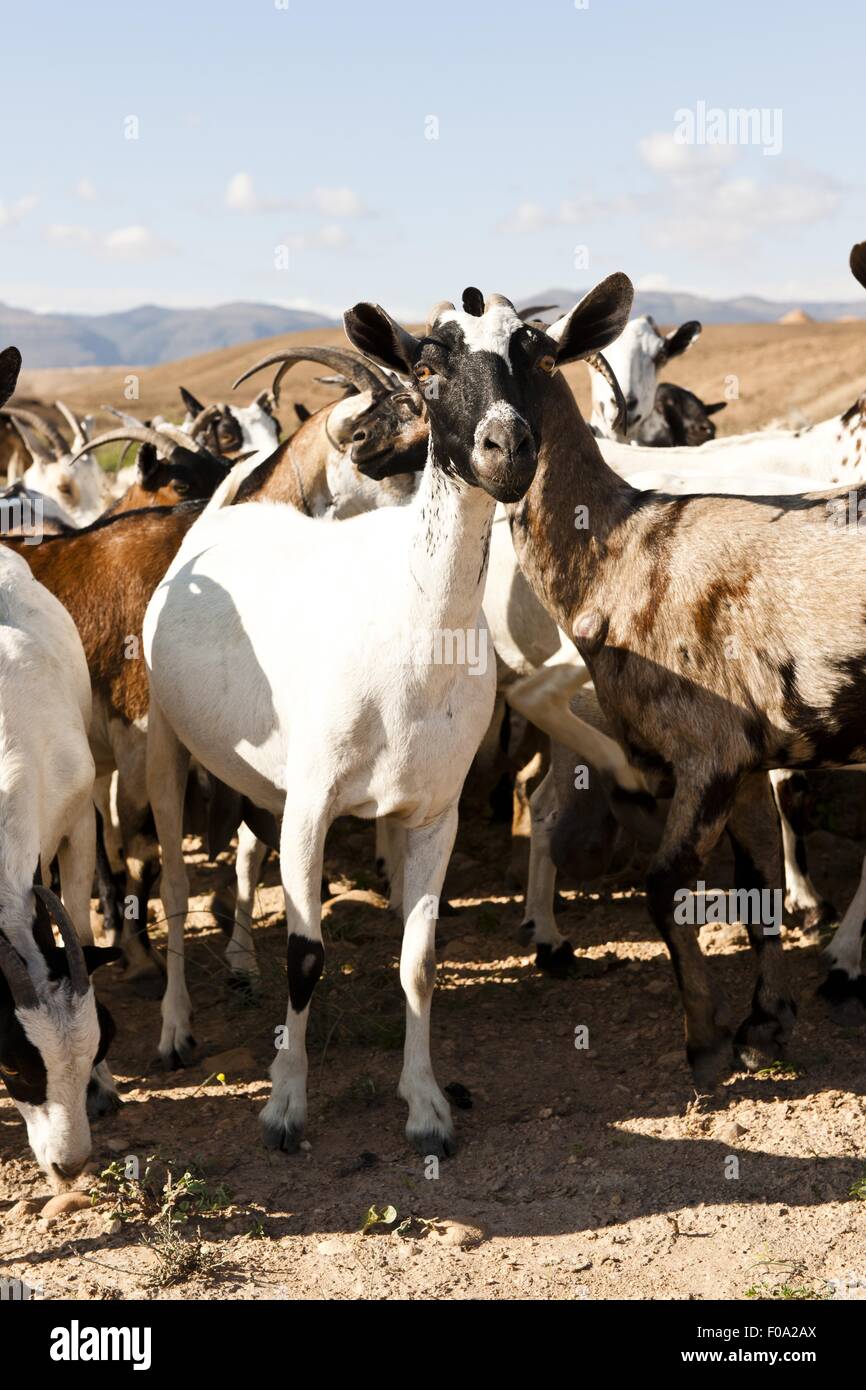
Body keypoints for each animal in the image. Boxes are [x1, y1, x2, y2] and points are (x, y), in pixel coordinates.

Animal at [140, 284, 632, 1158]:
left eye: (541, 356)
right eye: (426, 371)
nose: (507, 447)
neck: (410, 629)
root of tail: (231, 510)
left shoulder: (434, 810)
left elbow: (420, 959)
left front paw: (427, 1106)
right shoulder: (312, 806)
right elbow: (307, 954)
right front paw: (285, 1106)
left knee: (244, 850)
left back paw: (239, 962)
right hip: (166, 742)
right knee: (171, 883)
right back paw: (175, 1027)